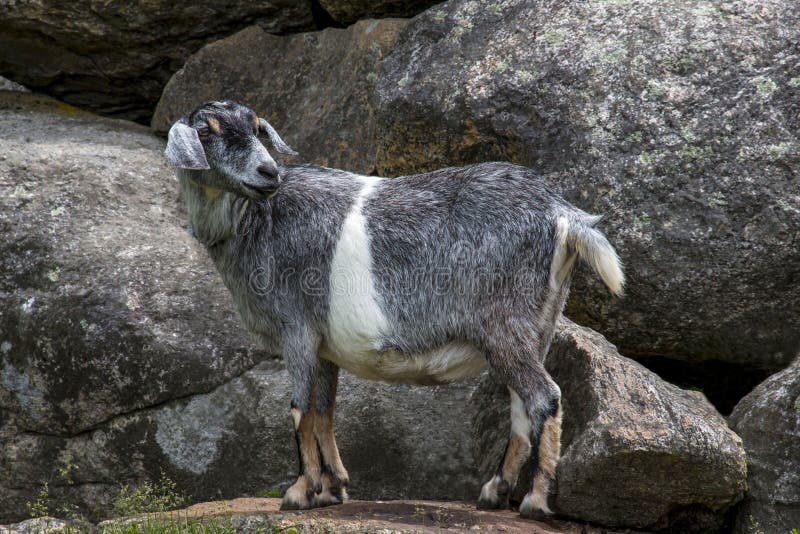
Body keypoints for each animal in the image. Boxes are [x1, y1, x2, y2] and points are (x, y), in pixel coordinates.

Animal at [164, 100, 624, 519]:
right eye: (205, 131)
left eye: (258, 127)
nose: (268, 172)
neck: (255, 221)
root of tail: (562, 214)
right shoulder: (324, 346)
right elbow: (324, 410)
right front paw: (332, 488)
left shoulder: (297, 330)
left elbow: (299, 409)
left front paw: (299, 492)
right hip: (537, 325)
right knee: (521, 405)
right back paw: (495, 491)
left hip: (503, 326)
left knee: (544, 397)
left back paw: (535, 501)